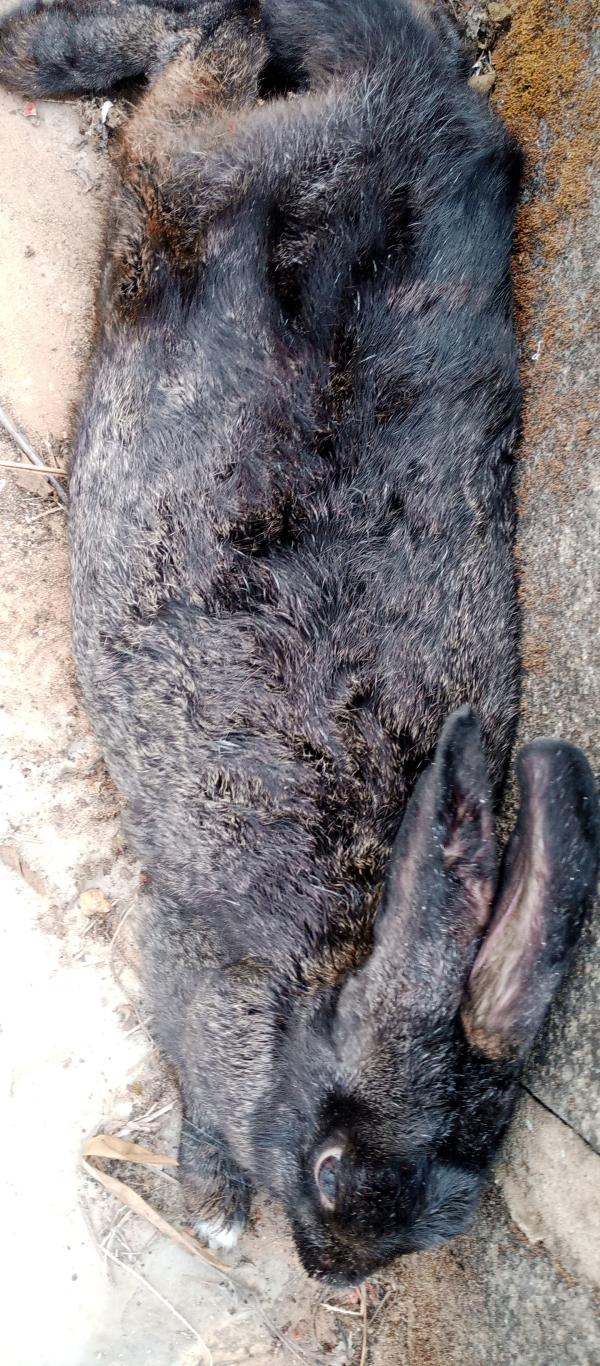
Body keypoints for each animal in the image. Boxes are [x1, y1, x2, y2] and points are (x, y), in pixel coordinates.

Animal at [1, 0, 598, 1285]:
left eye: (438, 1220)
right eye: (331, 1173)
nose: (327, 1267)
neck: (328, 978)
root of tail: (406, 100)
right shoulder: (191, 991)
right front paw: (215, 1202)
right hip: (190, 194)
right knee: (193, 70)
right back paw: (40, 54)